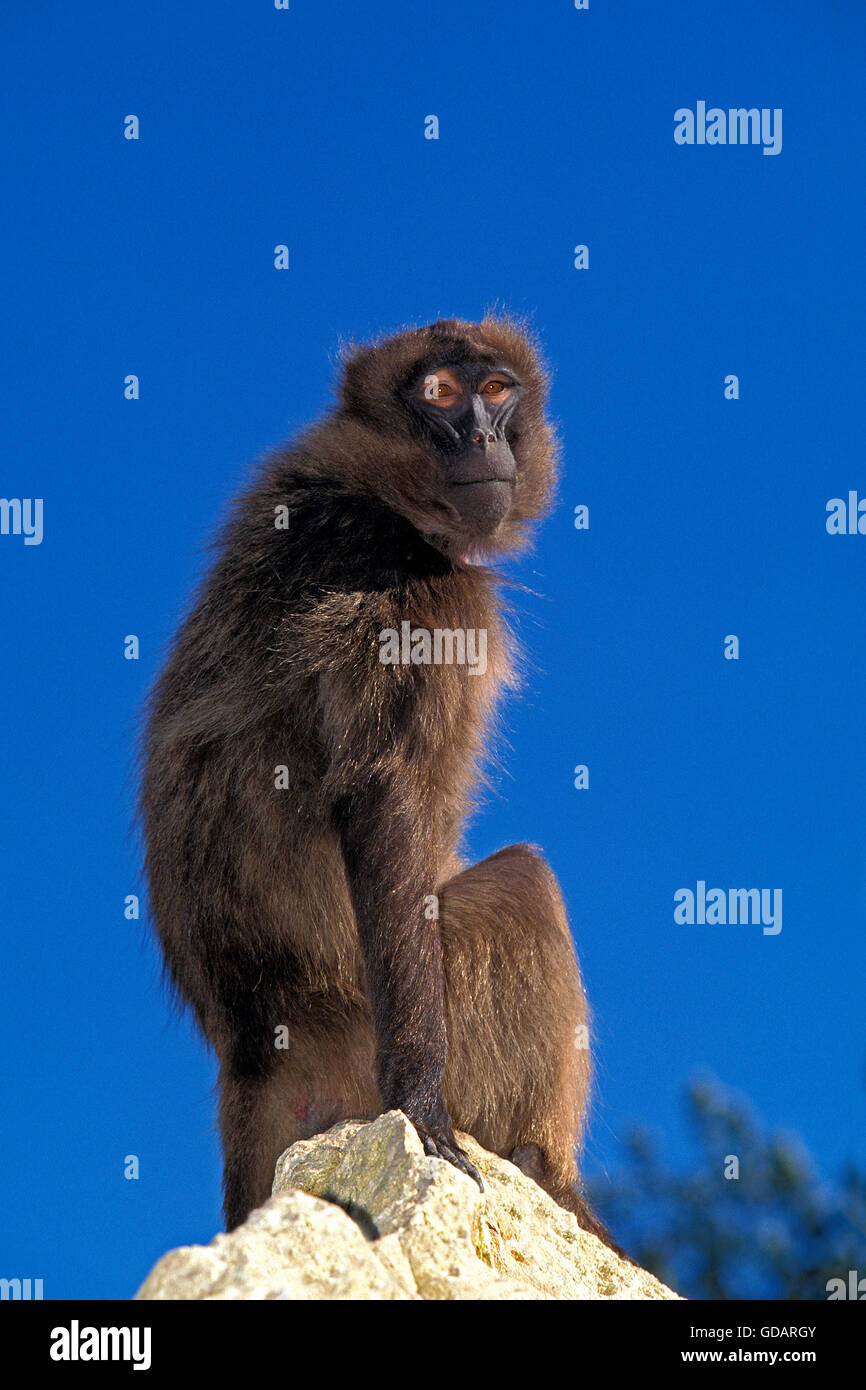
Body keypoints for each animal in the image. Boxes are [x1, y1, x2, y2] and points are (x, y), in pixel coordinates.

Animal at [140, 314, 617, 1248]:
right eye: (440, 393)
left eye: (496, 390)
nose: (480, 438)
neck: (380, 487)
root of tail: (253, 1054)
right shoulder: (405, 587)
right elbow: (381, 793)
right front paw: (421, 1102)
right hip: (391, 1024)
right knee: (526, 886)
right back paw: (552, 1173)